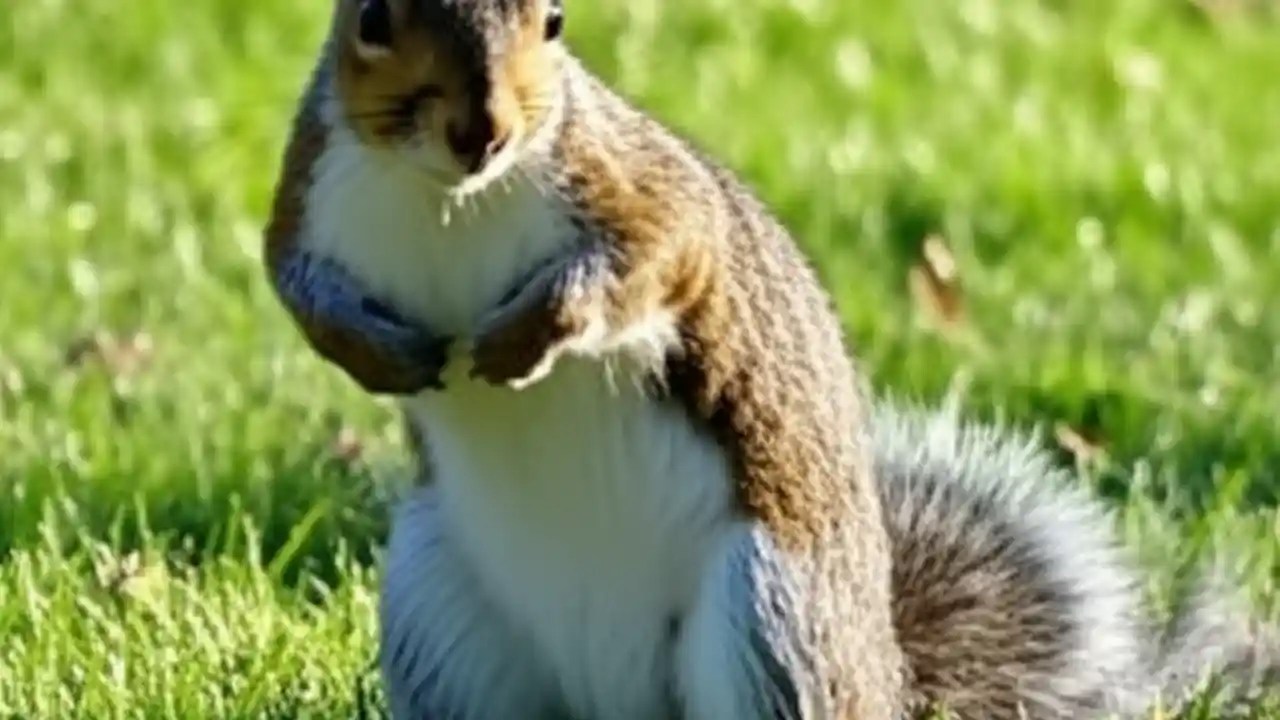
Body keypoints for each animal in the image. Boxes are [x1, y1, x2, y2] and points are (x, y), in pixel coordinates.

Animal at [261, 1, 1278, 718]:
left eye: (554, 21)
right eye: (372, 19)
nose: (484, 131)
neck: (448, 197)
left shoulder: (636, 194)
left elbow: (655, 259)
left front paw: (526, 337)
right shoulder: (303, 202)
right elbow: (298, 293)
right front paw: (377, 352)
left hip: (769, 617)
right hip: (435, 613)